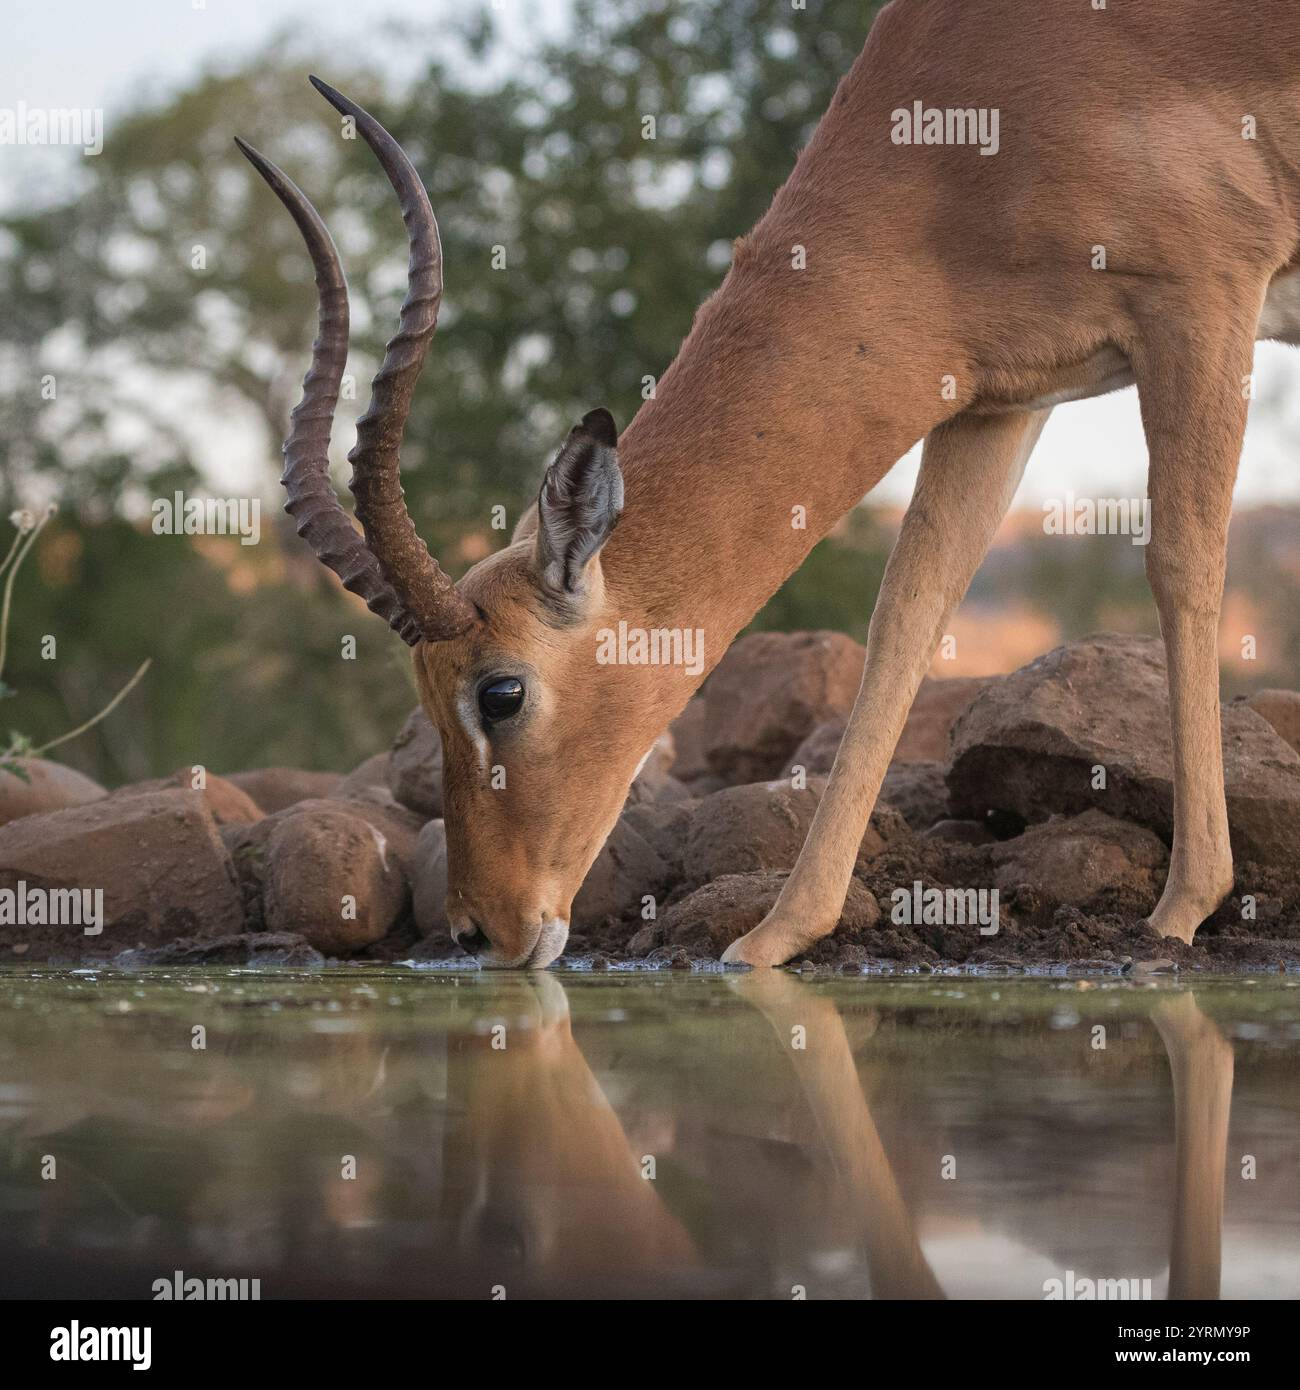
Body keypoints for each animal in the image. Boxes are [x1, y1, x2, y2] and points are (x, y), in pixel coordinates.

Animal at [238, 1, 1300, 967]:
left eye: (501, 693)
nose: (476, 930)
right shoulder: (991, 398)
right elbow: (907, 618)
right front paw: (774, 936)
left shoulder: (1203, 299)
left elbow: (1183, 564)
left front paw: (1182, 908)